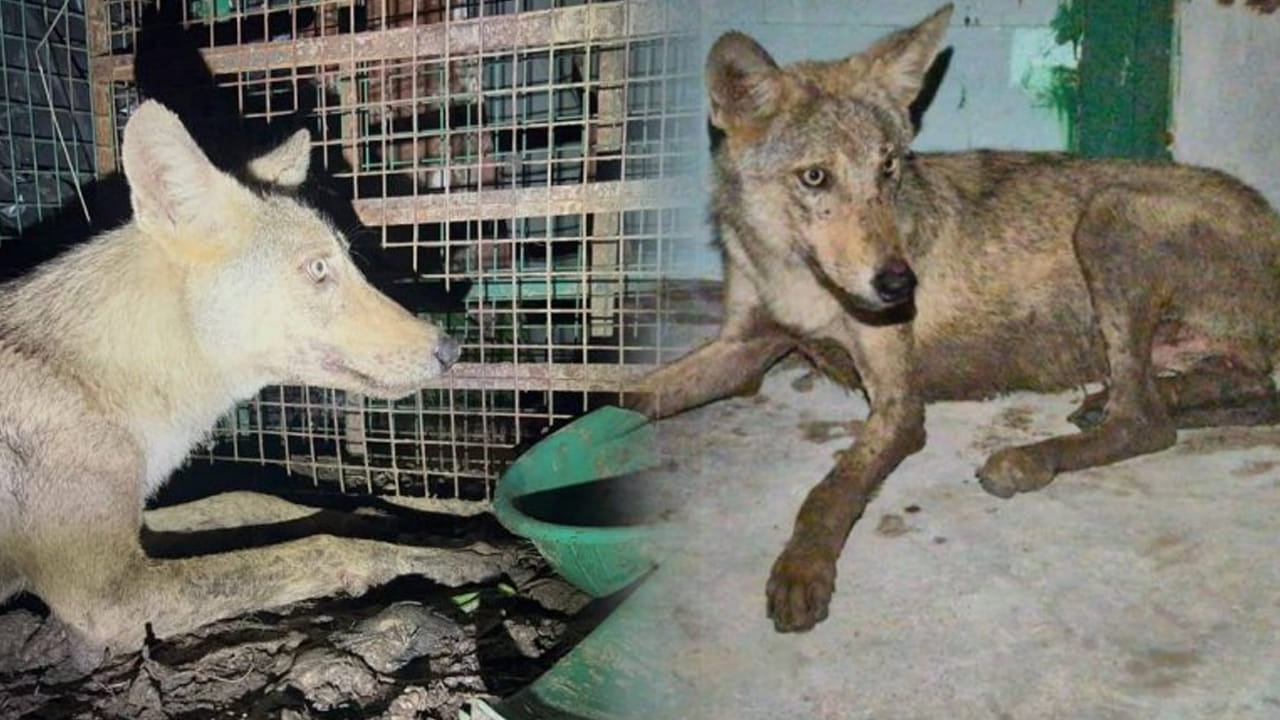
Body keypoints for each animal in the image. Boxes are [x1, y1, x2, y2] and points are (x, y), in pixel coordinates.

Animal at [0, 101, 508, 669]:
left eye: (349, 262)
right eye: (318, 269)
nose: (451, 350)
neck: (102, 379)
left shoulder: (142, 526)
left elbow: (260, 501)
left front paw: (413, 529)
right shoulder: (108, 596)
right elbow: (324, 545)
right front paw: (435, 560)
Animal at [637, 4, 1280, 633]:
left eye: (889, 168)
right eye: (815, 176)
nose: (901, 284)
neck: (794, 274)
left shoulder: (900, 404)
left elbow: (829, 490)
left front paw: (802, 568)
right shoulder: (741, 348)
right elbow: (633, 396)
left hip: (1109, 213)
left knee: (1147, 421)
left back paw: (1028, 459)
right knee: (1224, 390)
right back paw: (1140, 398)